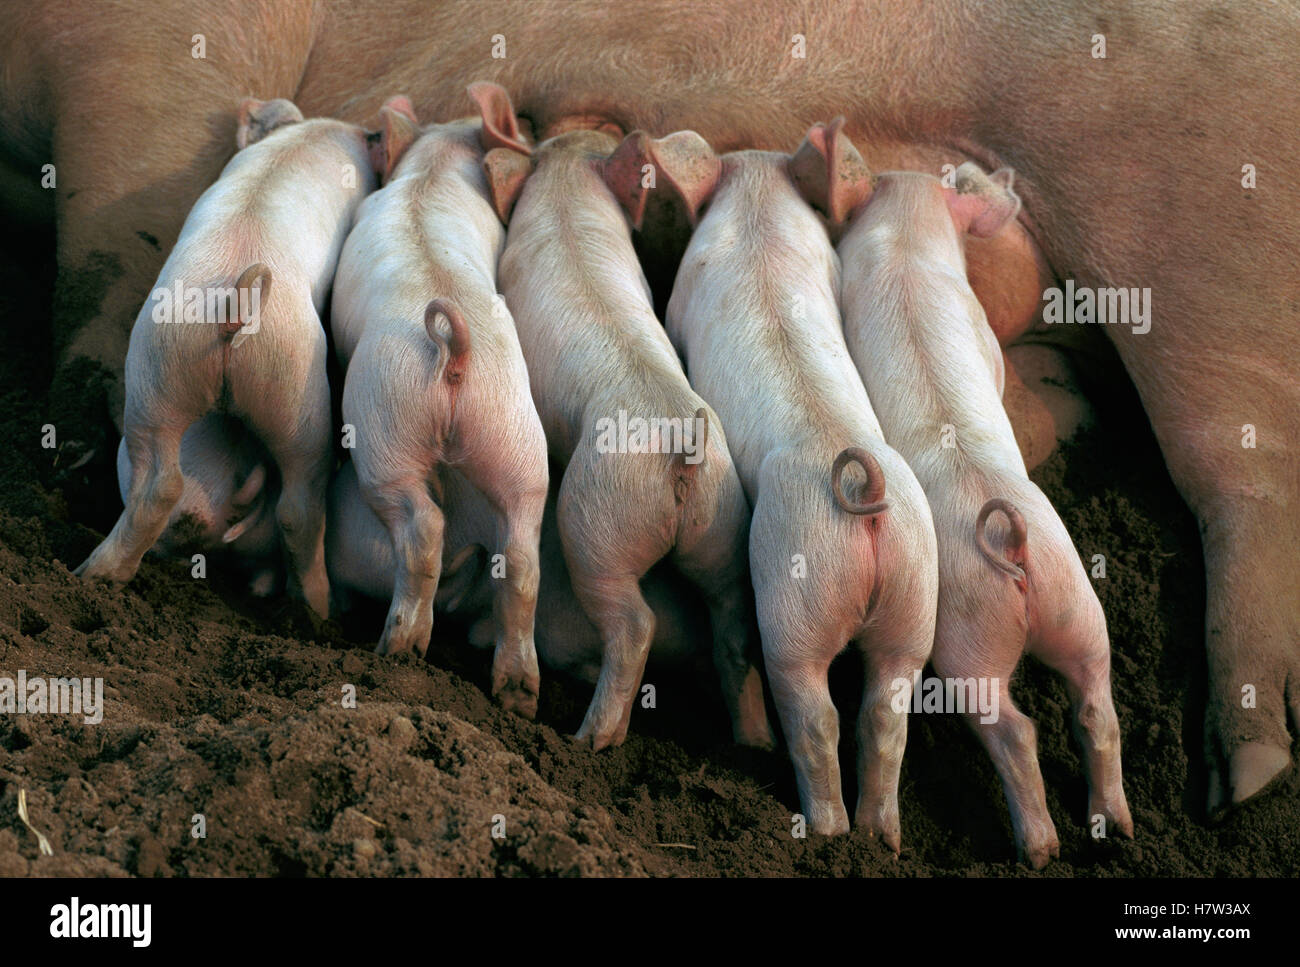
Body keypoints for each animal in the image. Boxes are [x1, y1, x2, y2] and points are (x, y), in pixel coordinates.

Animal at [75, 99, 381, 617]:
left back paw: (93, 574)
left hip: (161, 369)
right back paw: (315, 611)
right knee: (299, 504)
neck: (309, 137)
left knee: (161, 486)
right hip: (295, 385)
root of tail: (237, 303)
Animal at [328, 85, 548, 716]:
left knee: (424, 528)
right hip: (514, 435)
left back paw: (396, 650)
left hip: (383, 426)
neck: (434, 170)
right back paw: (518, 696)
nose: (533, 120)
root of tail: (454, 353)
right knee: (521, 557)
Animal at [482, 128, 774, 751]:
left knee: (636, 624)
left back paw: (589, 740)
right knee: (734, 621)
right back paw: (754, 743)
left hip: (598, 523)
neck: (566, 193)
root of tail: (682, 447)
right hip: (722, 524)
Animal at [620, 131, 939, 847]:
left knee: (815, 711)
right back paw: (880, 840)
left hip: (796, 596)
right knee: (885, 714)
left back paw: (825, 830)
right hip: (914, 598)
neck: (759, 212)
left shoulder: (680, 305)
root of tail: (864, 498)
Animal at [805, 120, 1132, 866]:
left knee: (1058, 716)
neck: (904, 245)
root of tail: (1011, 546)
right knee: (1059, 715)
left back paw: (1082, 838)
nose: (1006, 176)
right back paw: (1073, 842)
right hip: (1028, 624)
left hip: (1032, 620)